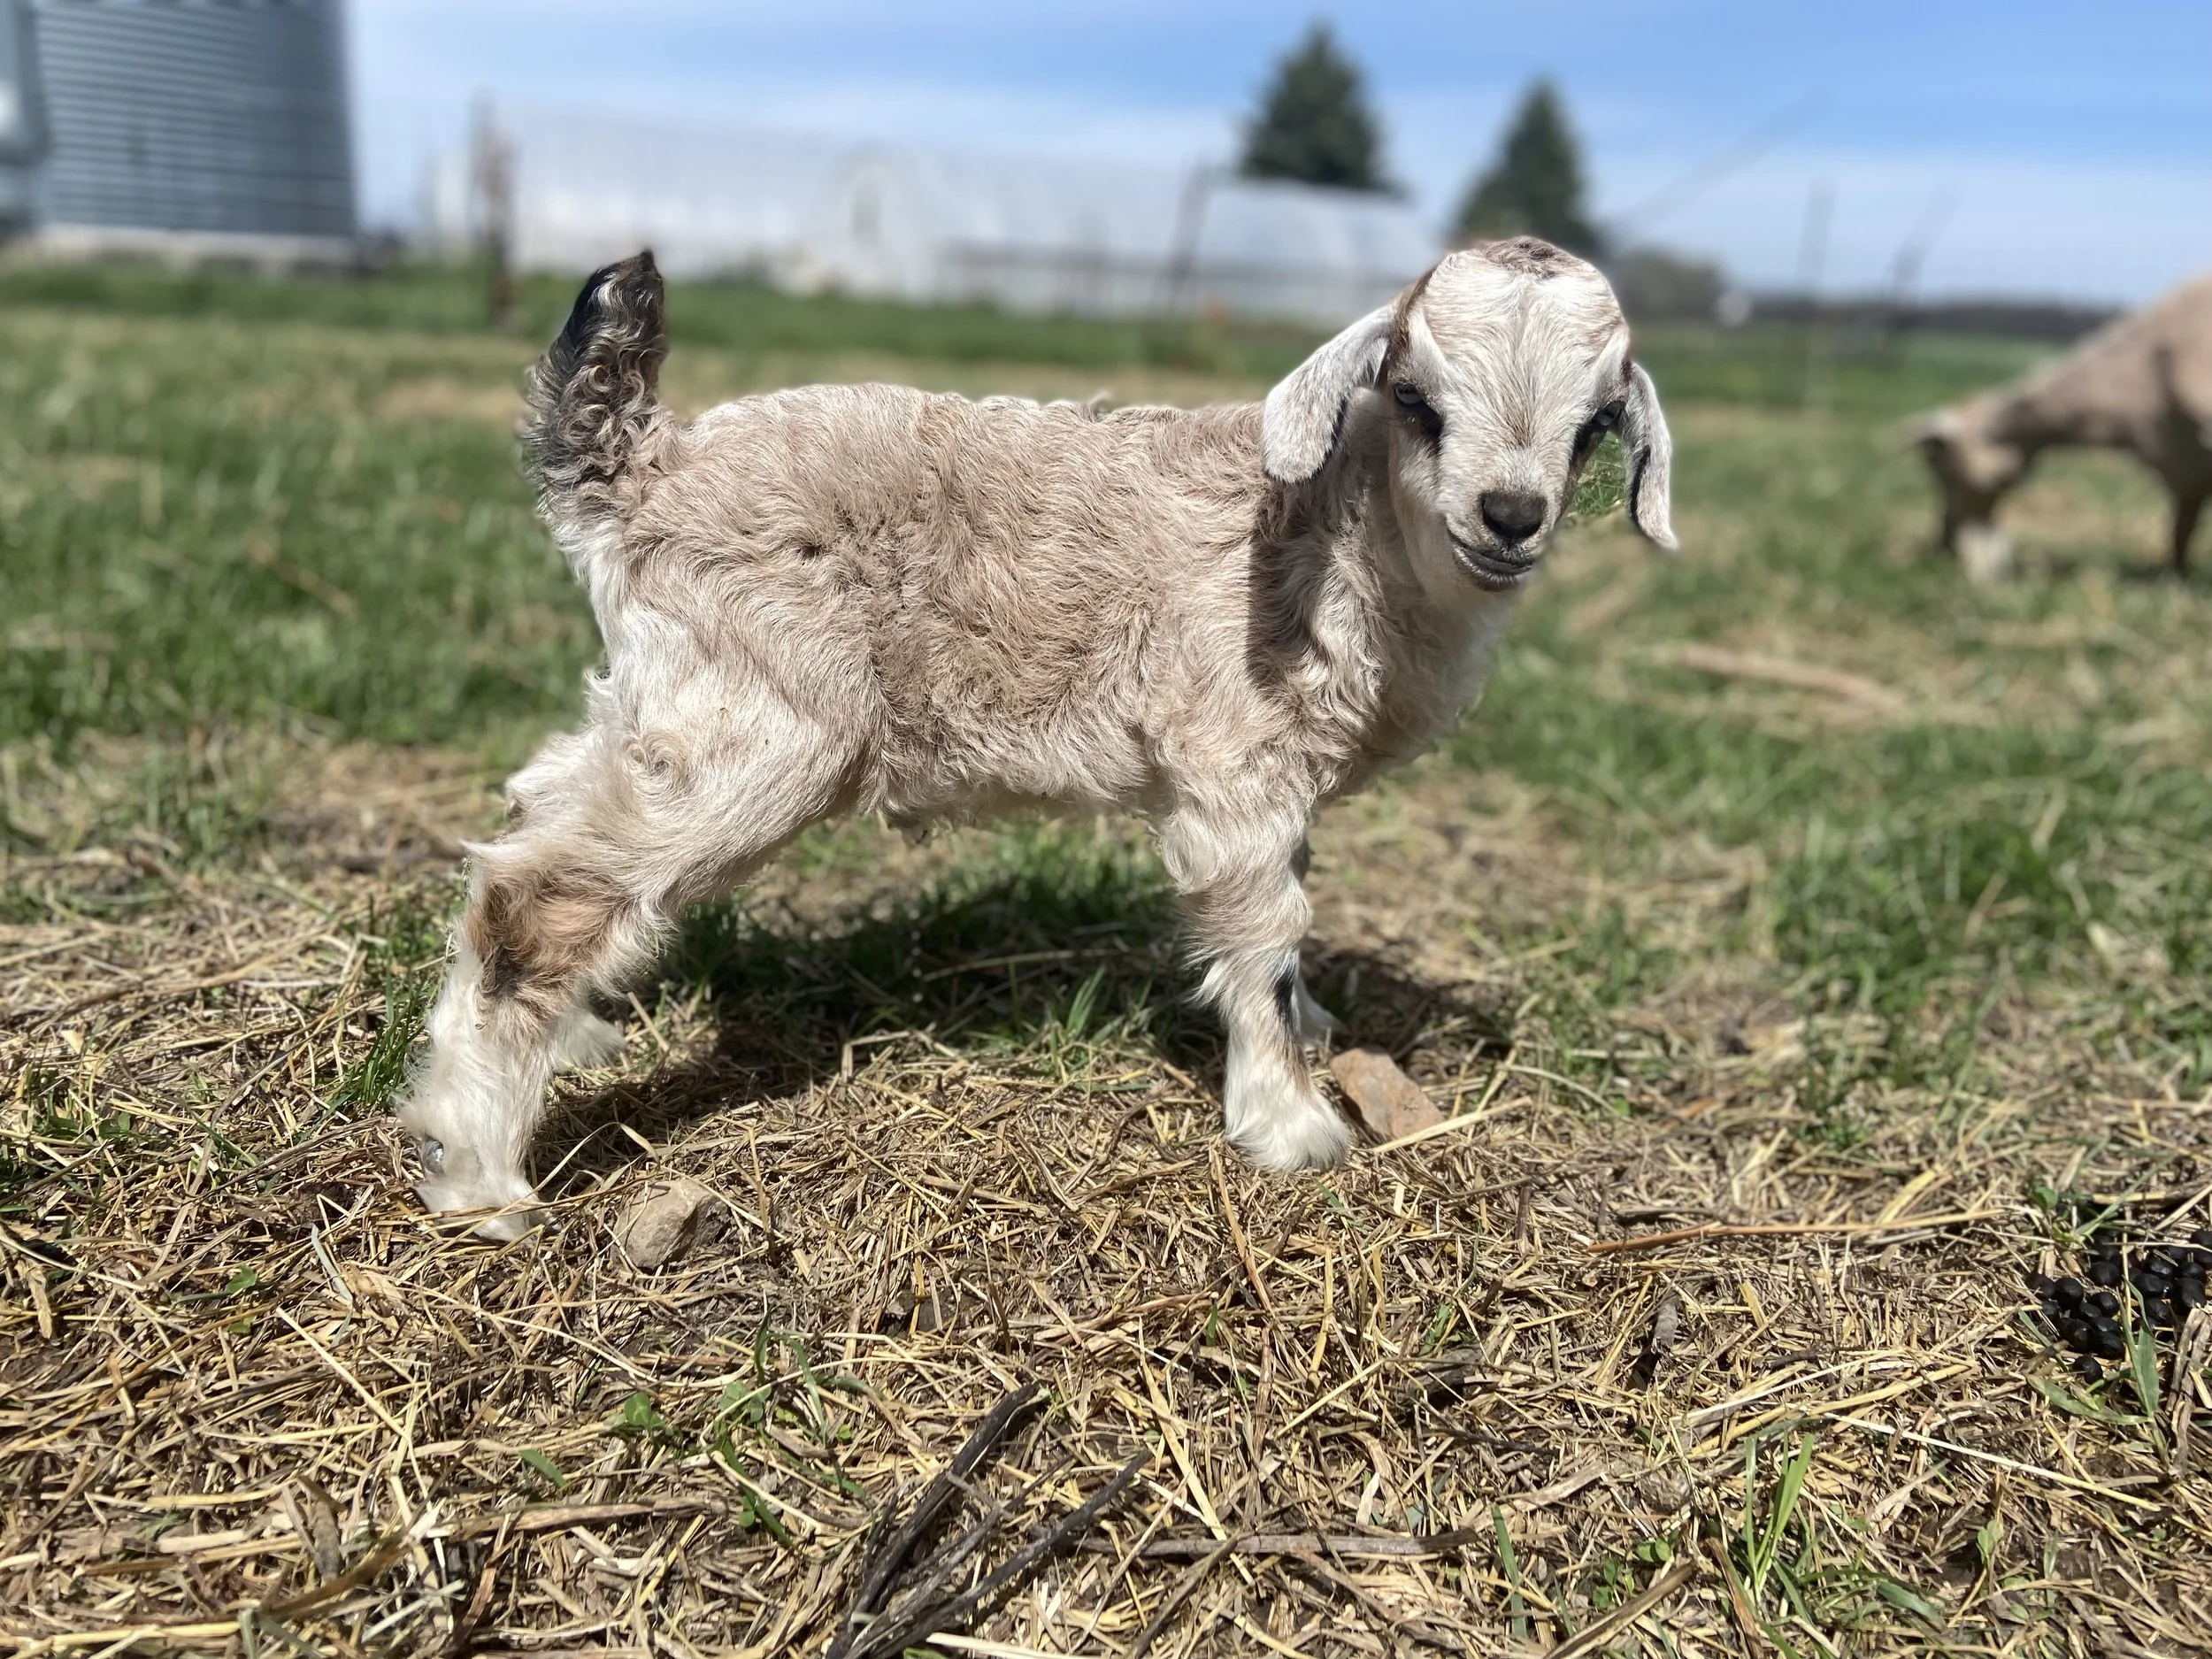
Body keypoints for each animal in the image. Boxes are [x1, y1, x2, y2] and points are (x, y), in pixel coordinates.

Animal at [397, 239, 1677, 1238]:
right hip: (757, 727)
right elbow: (1261, 930)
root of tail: (644, 467)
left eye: (1593, 426)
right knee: (541, 896)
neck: (1341, 530)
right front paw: (1292, 1124)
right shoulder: (1234, 765)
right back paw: (480, 1173)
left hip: (663, 700)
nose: (1509, 517)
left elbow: (1290, 922)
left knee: (535, 812)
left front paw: (1315, 1029)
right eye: (1418, 401)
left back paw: (534, 1063)